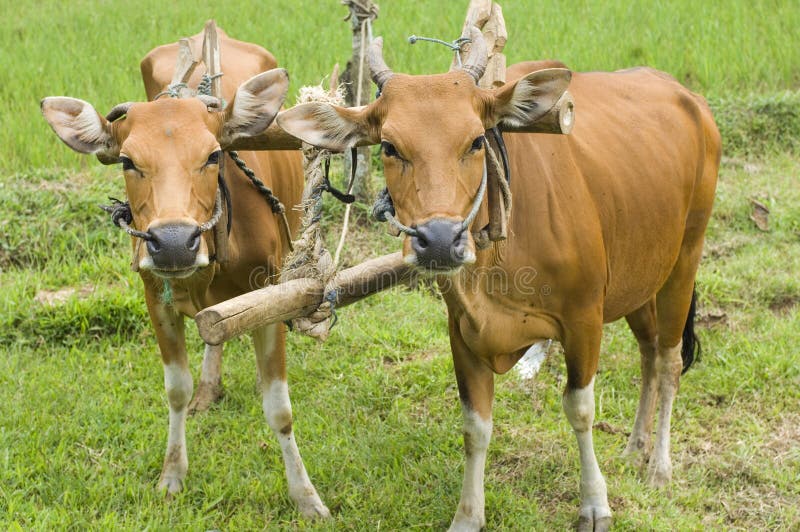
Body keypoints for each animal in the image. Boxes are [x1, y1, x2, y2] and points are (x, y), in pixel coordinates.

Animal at [40, 27, 330, 518]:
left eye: (213, 155)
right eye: (127, 161)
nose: (174, 241)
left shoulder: (270, 298)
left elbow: (279, 408)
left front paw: (306, 497)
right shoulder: (156, 300)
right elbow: (175, 388)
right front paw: (172, 474)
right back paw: (209, 388)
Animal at [277, 27, 720, 530]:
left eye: (474, 141)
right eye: (389, 147)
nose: (439, 240)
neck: (500, 256)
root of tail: (690, 99)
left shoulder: (584, 319)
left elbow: (580, 408)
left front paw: (594, 503)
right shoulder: (463, 333)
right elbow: (476, 426)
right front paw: (468, 515)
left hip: (686, 258)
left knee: (668, 361)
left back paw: (659, 464)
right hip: (641, 277)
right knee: (648, 351)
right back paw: (635, 446)